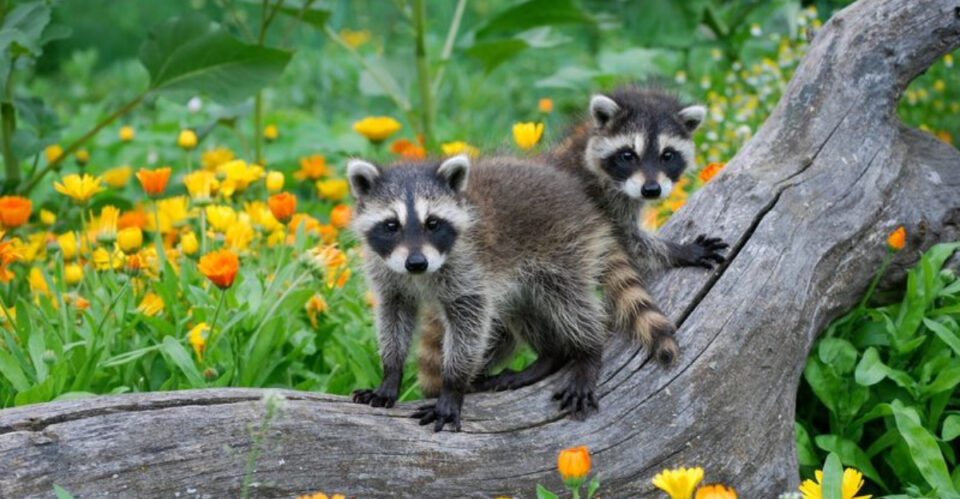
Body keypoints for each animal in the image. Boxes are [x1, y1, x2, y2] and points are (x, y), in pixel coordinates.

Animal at [348, 154, 674, 430]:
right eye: (391, 225)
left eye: (433, 223)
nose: (416, 262)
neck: (419, 275)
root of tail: (587, 205)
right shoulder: (388, 275)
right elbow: (393, 316)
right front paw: (391, 374)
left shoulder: (468, 267)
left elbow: (469, 326)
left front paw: (452, 386)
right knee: (521, 309)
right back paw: (551, 354)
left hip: (564, 249)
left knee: (572, 305)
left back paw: (587, 352)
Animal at [552, 86, 728, 272]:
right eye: (628, 155)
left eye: (667, 155)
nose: (651, 190)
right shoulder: (602, 203)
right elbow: (627, 242)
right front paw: (680, 251)